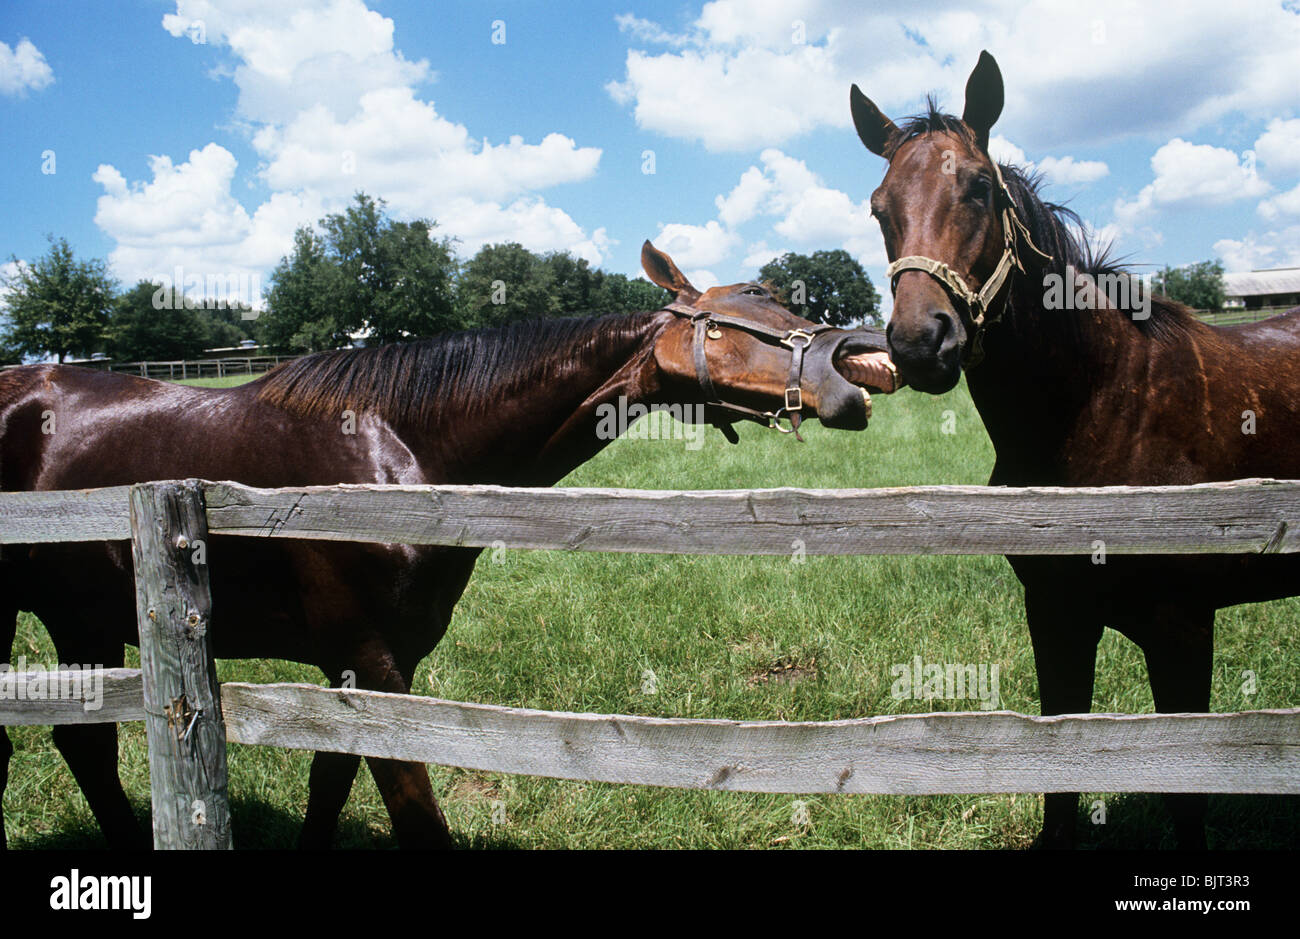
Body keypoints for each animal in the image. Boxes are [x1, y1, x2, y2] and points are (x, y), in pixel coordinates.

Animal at [0, 241, 895, 849]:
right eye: (733, 318)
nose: (858, 362)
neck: (399, 450)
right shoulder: (369, 658)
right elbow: (416, 816)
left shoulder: (368, 665)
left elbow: (330, 783)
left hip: (83, 619)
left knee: (84, 743)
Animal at [849, 52, 1300, 848]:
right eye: (880, 206)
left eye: (979, 186)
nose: (920, 341)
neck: (1104, 403)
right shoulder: (1054, 612)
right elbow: (1058, 766)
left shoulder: (1183, 627)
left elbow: (1188, 795)